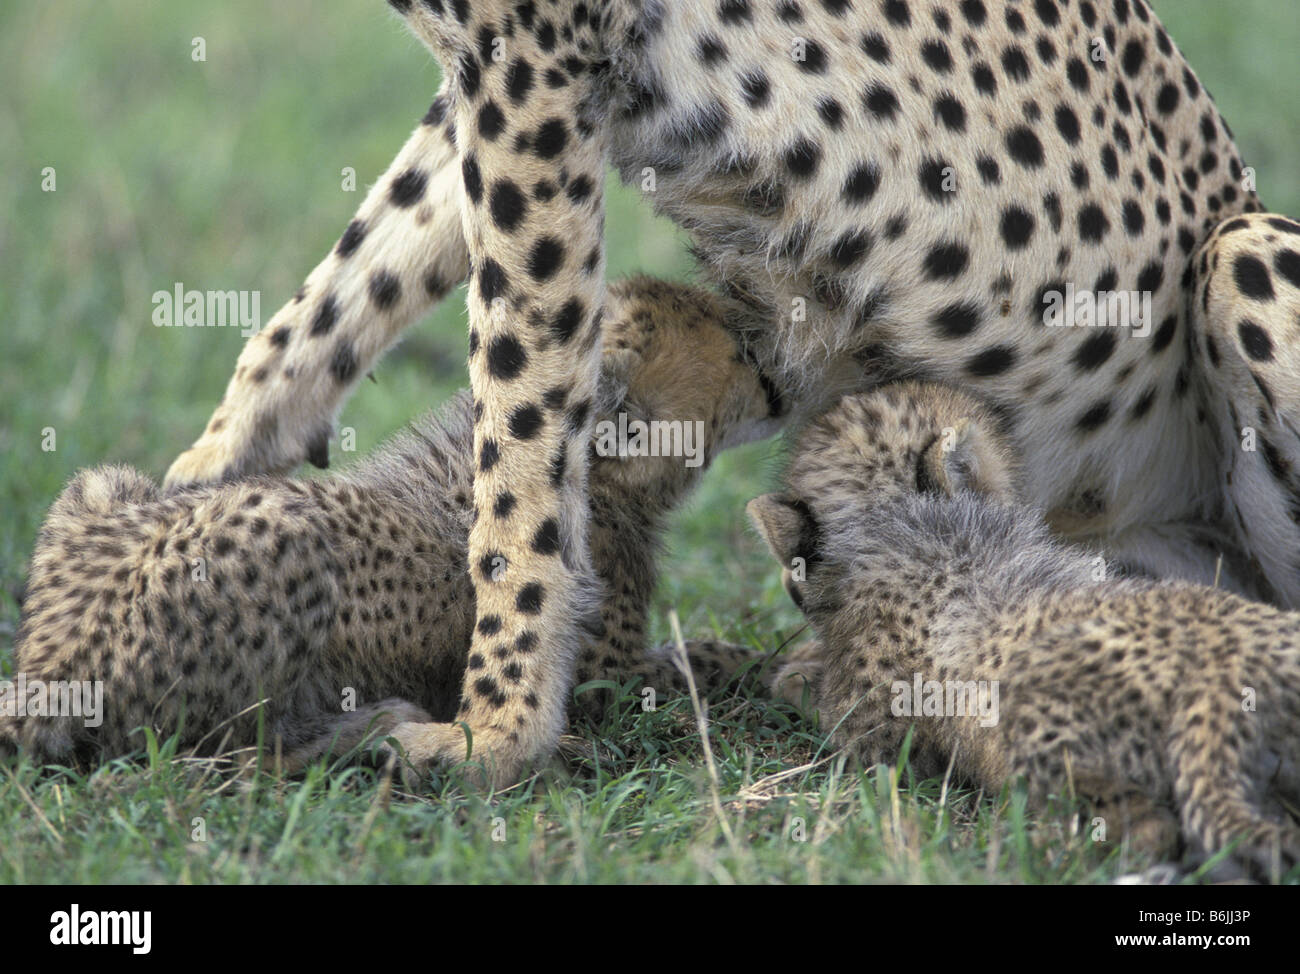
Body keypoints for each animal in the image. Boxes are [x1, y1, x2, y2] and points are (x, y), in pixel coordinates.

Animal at [2, 277, 774, 774]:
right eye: (739, 350)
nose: (778, 378)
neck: (598, 473)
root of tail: (48, 670)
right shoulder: (601, 680)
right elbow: (695, 660)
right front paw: (762, 661)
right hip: (285, 530)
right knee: (239, 751)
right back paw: (375, 726)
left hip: (107, 485)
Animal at [153, 0, 1300, 786]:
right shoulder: (526, 80)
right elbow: (340, 291)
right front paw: (193, 502)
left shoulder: (534, 68)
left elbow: (519, 442)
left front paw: (497, 729)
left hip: (1242, 247)